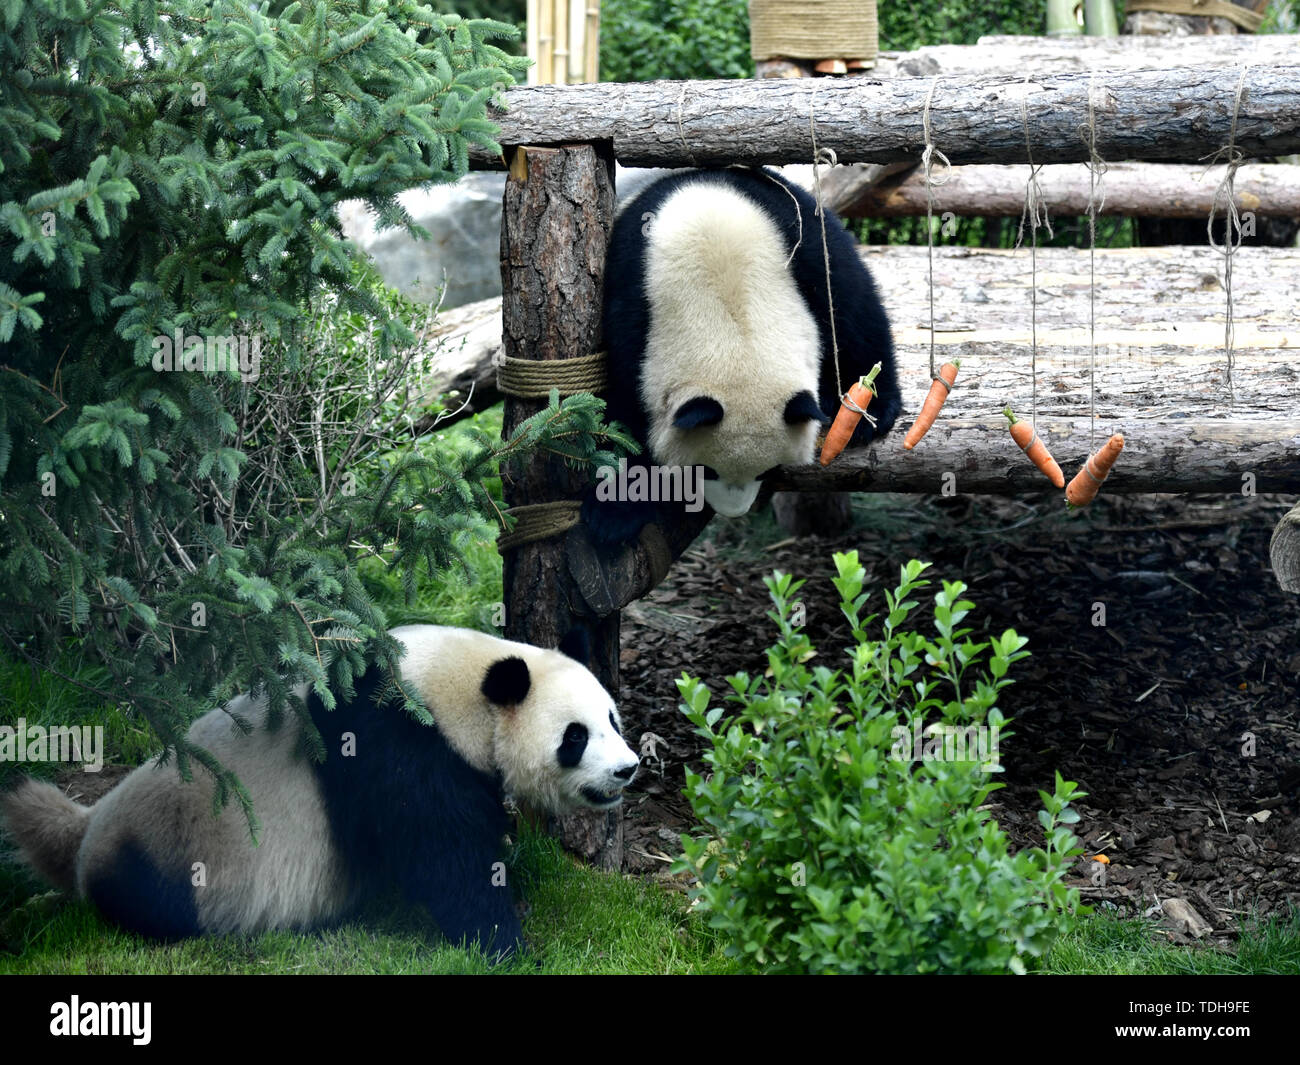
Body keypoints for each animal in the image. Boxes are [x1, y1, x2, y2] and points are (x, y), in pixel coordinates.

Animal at [0, 625, 638, 959]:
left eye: (614, 719)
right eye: (576, 736)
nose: (627, 770)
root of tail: (89, 825)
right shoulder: (394, 739)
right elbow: (441, 853)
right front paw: (504, 941)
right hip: (169, 846)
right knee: (149, 901)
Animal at [587, 165, 901, 546]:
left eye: (769, 470)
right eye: (704, 471)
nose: (734, 511)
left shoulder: (793, 232)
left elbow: (847, 300)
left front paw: (868, 411)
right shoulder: (633, 292)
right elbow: (622, 409)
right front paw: (617, 510)